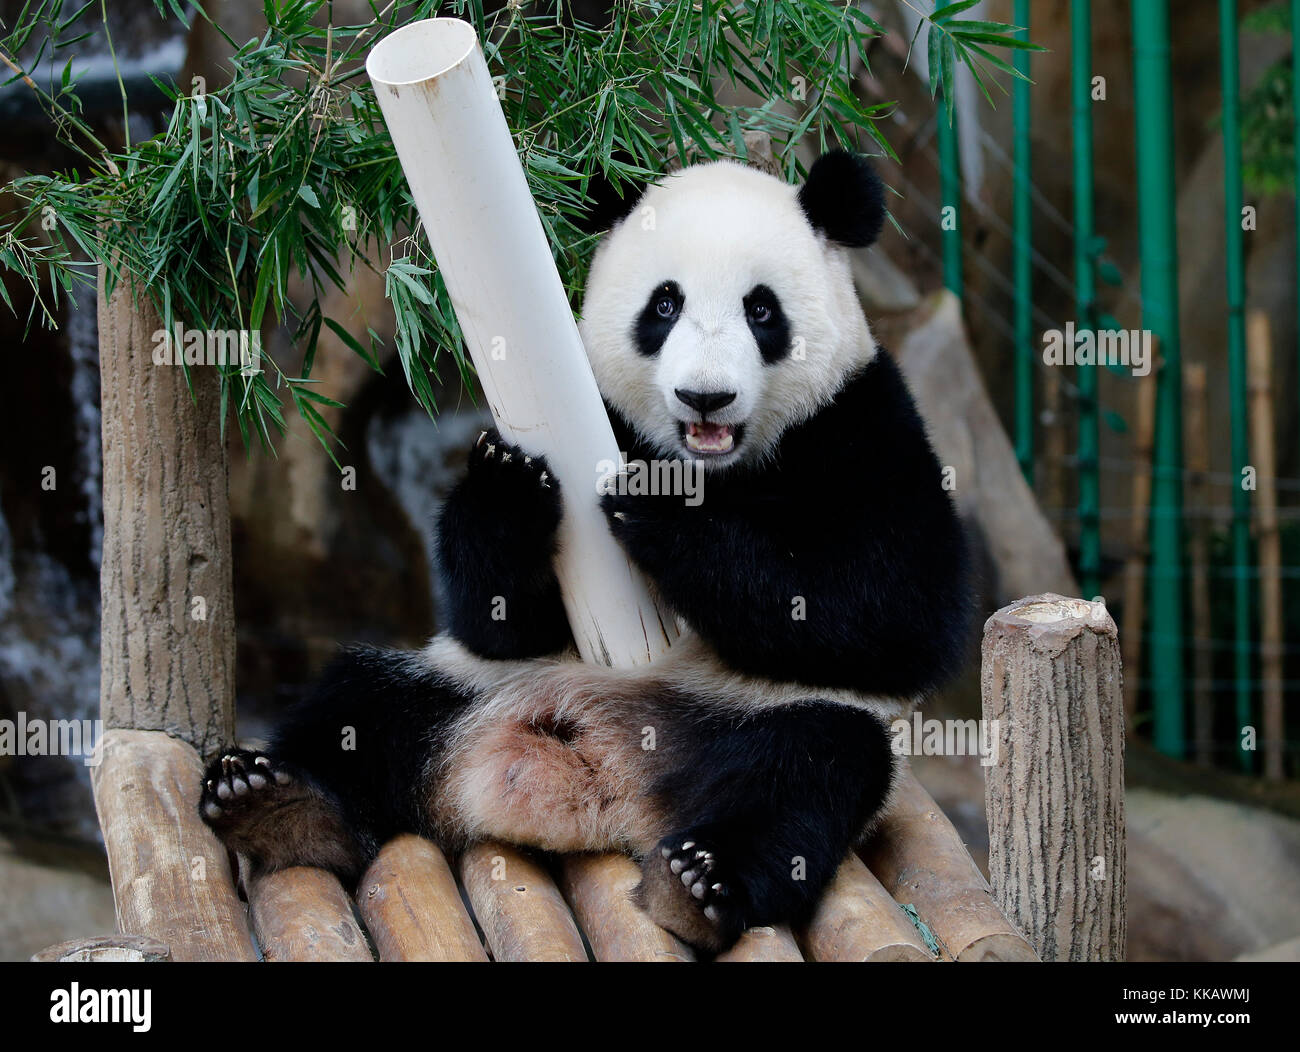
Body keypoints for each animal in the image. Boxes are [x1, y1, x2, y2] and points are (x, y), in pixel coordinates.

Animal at [199, 150, 973, 953]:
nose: (705, 397)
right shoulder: (594, 422)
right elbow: (500, 620)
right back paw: (274, 803)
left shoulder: (860, 424)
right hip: (466, 684)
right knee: (362, 704)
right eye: (664, 306)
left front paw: (666, 508)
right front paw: (507, 488)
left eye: (762, 311)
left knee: (808, 779)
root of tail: (600, 788)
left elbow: (897, 613)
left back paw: (700, 883)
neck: (713, 462)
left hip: (763, 716)